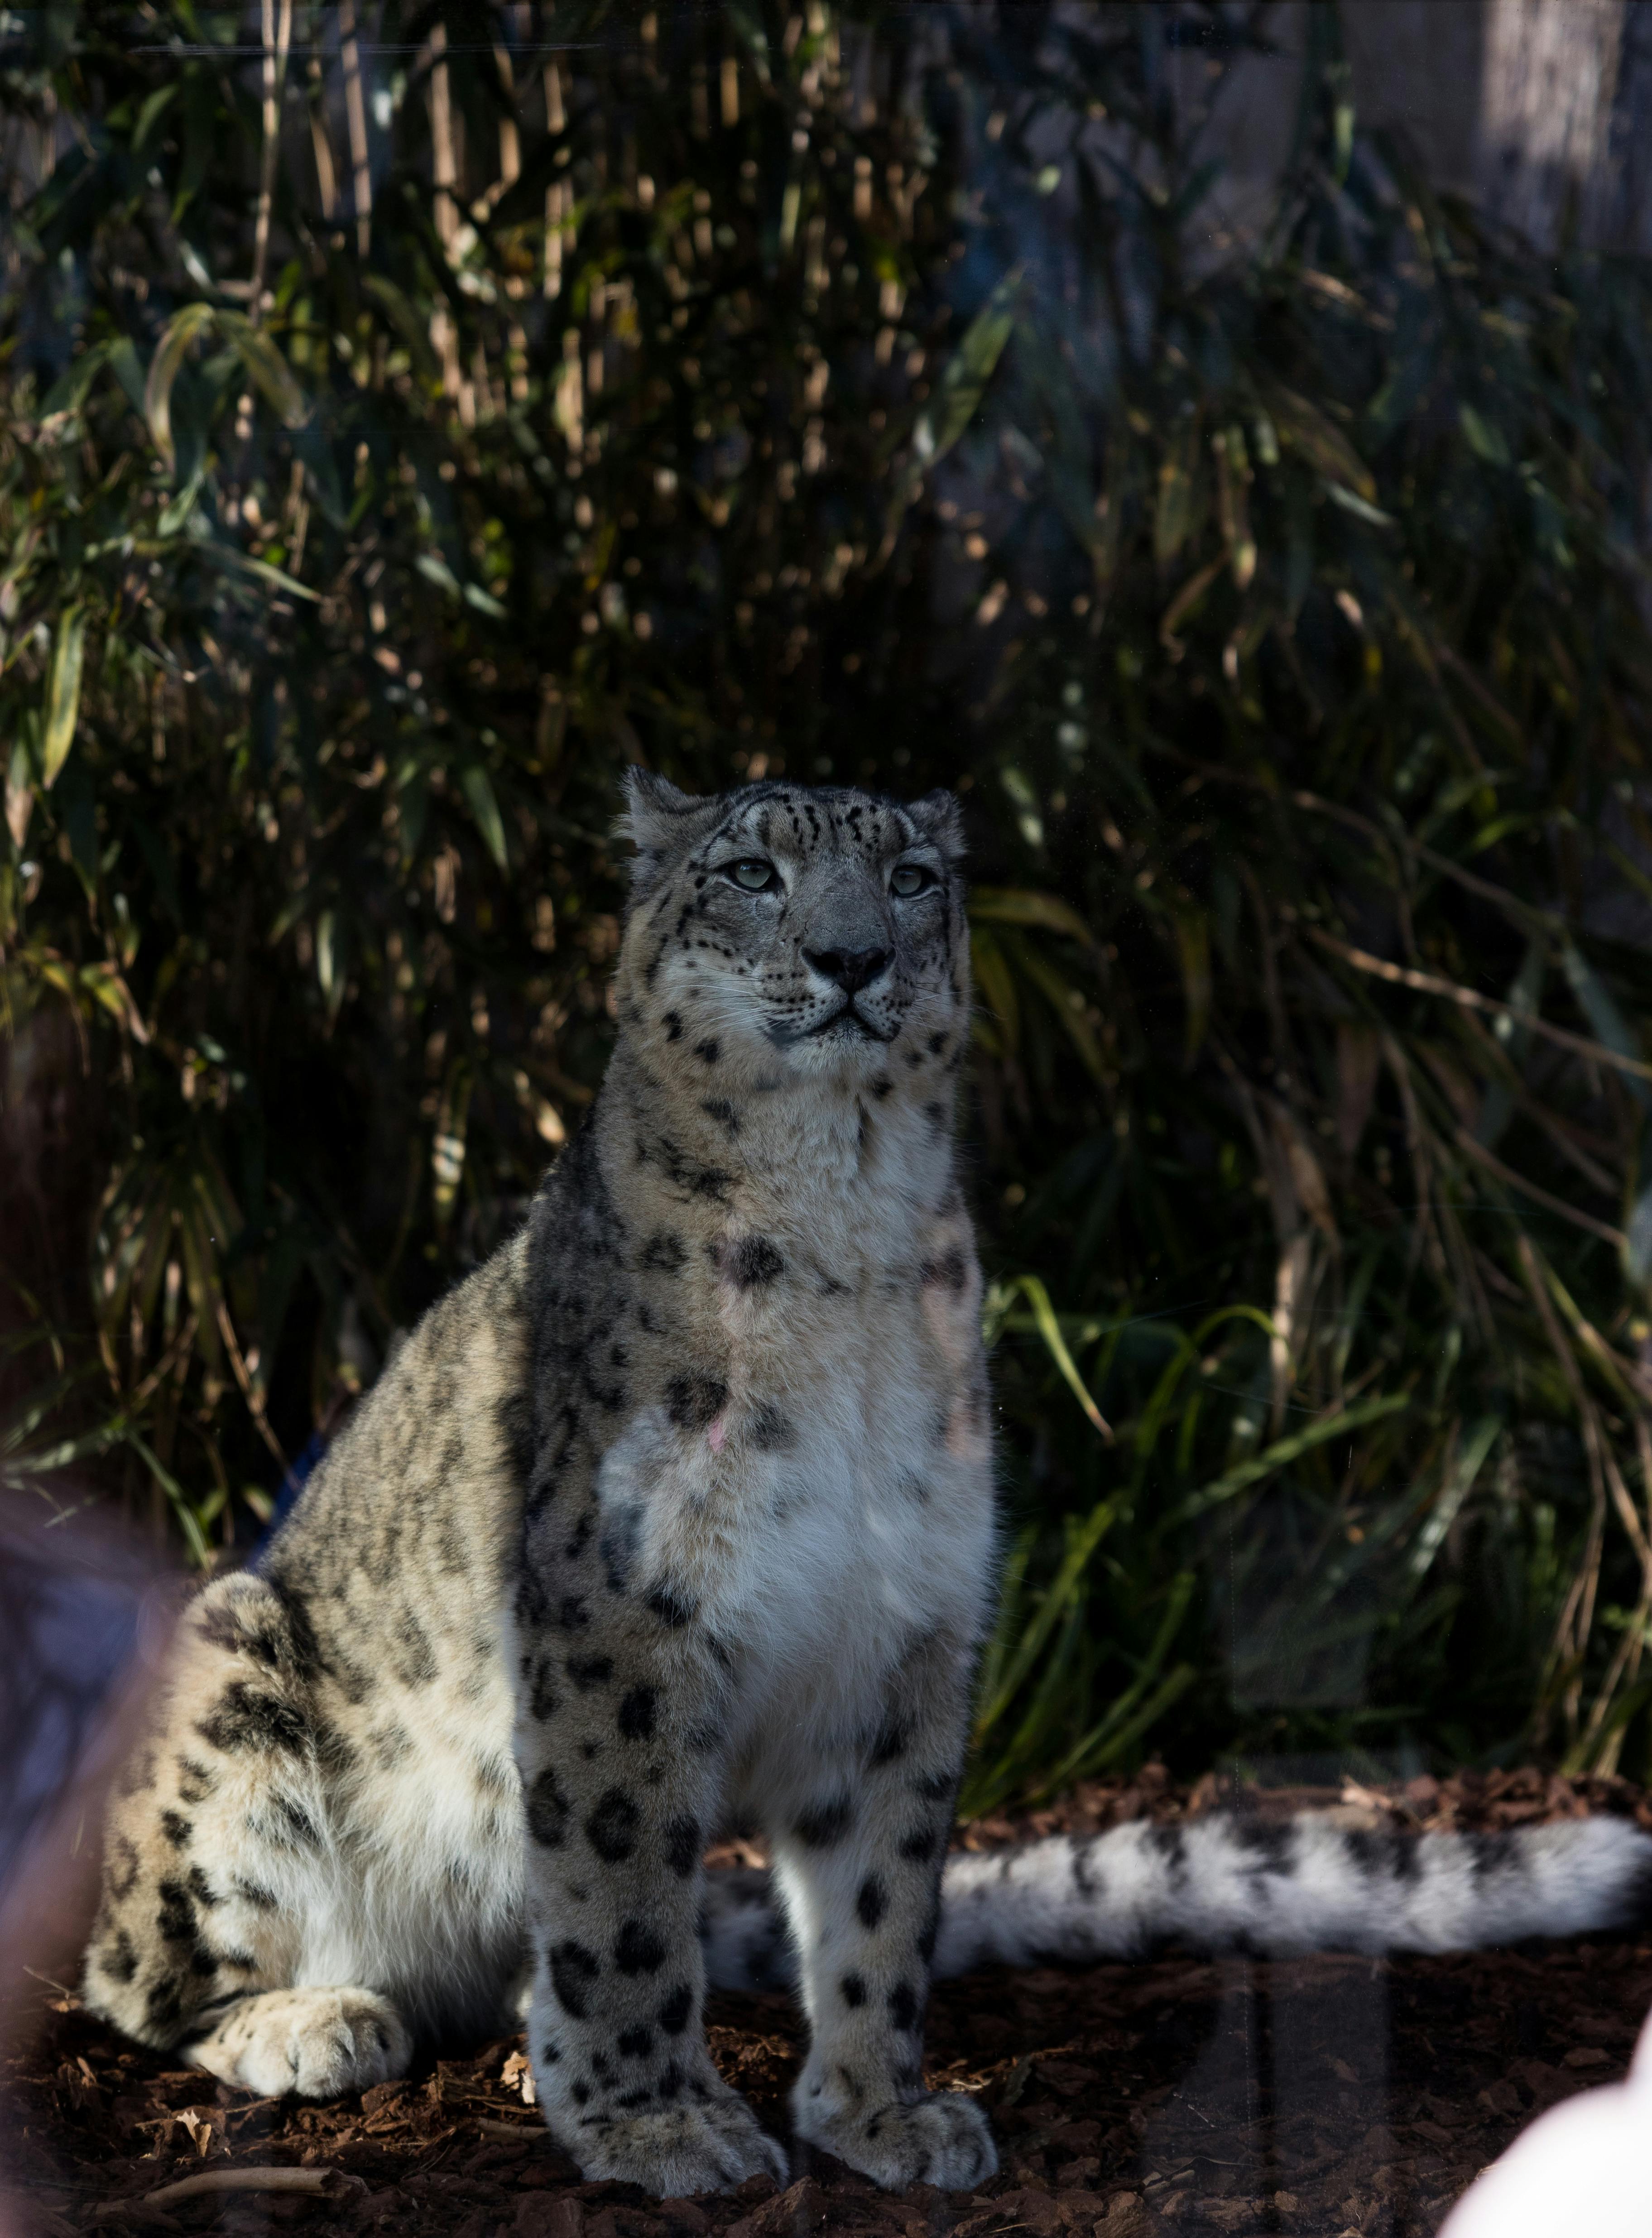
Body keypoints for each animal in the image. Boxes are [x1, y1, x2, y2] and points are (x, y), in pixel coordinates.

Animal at [82, 773, 1652, 2198]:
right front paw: (661, 2127)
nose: (853, 956)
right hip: (225, 1668)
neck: (844, 1227)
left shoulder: (909, 1623)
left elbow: (883, 1893)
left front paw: (879, 2110)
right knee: (132, 1976)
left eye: (908, 877)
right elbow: (619, 1884)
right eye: (750, 871)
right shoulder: (619, 1616)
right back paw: (317, 2019)